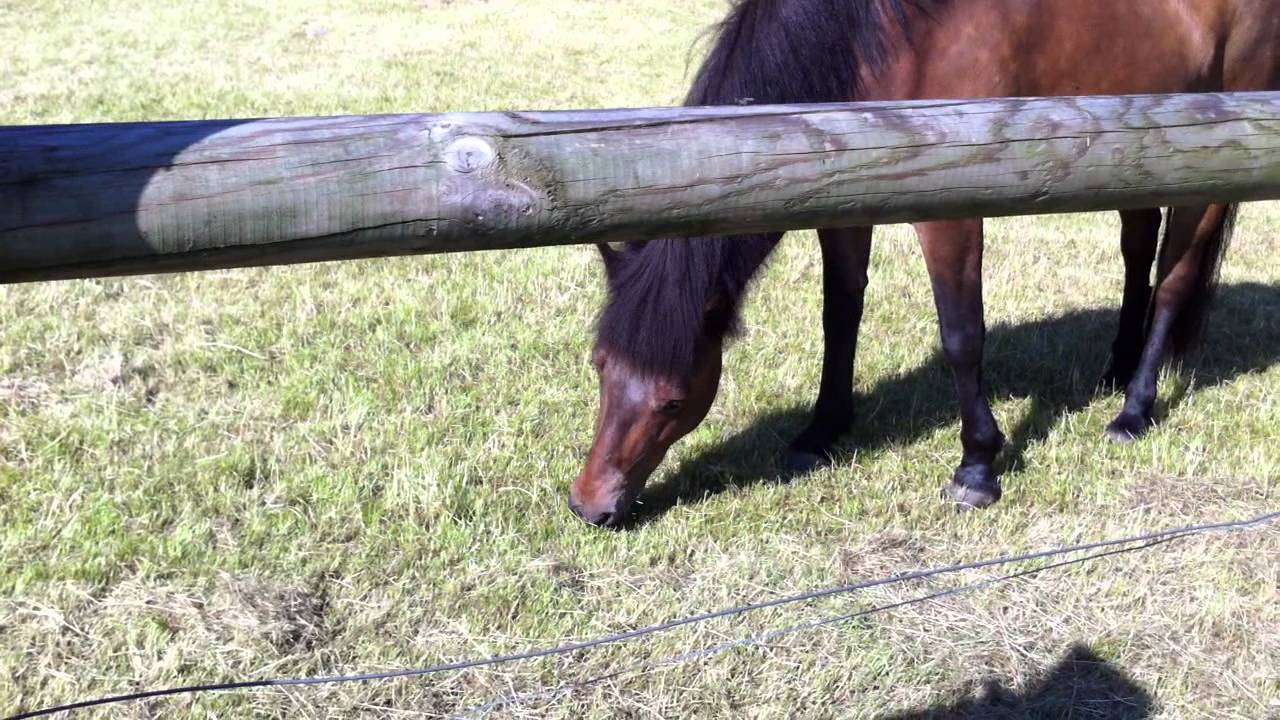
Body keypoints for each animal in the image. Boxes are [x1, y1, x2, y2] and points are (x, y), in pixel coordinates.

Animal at [568, 0, 1280, 527]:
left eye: (672, 399)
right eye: (599, 367)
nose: (589, 505)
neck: (885, 35)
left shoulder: (951, 215)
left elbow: (962, 336)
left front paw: (977, 467)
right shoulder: (845, 206)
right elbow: (840, 317)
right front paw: (822, 431)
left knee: (1175, 277)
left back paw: (1133, 410)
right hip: (1136, 156)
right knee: (1138, 253)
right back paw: (1114, 368)